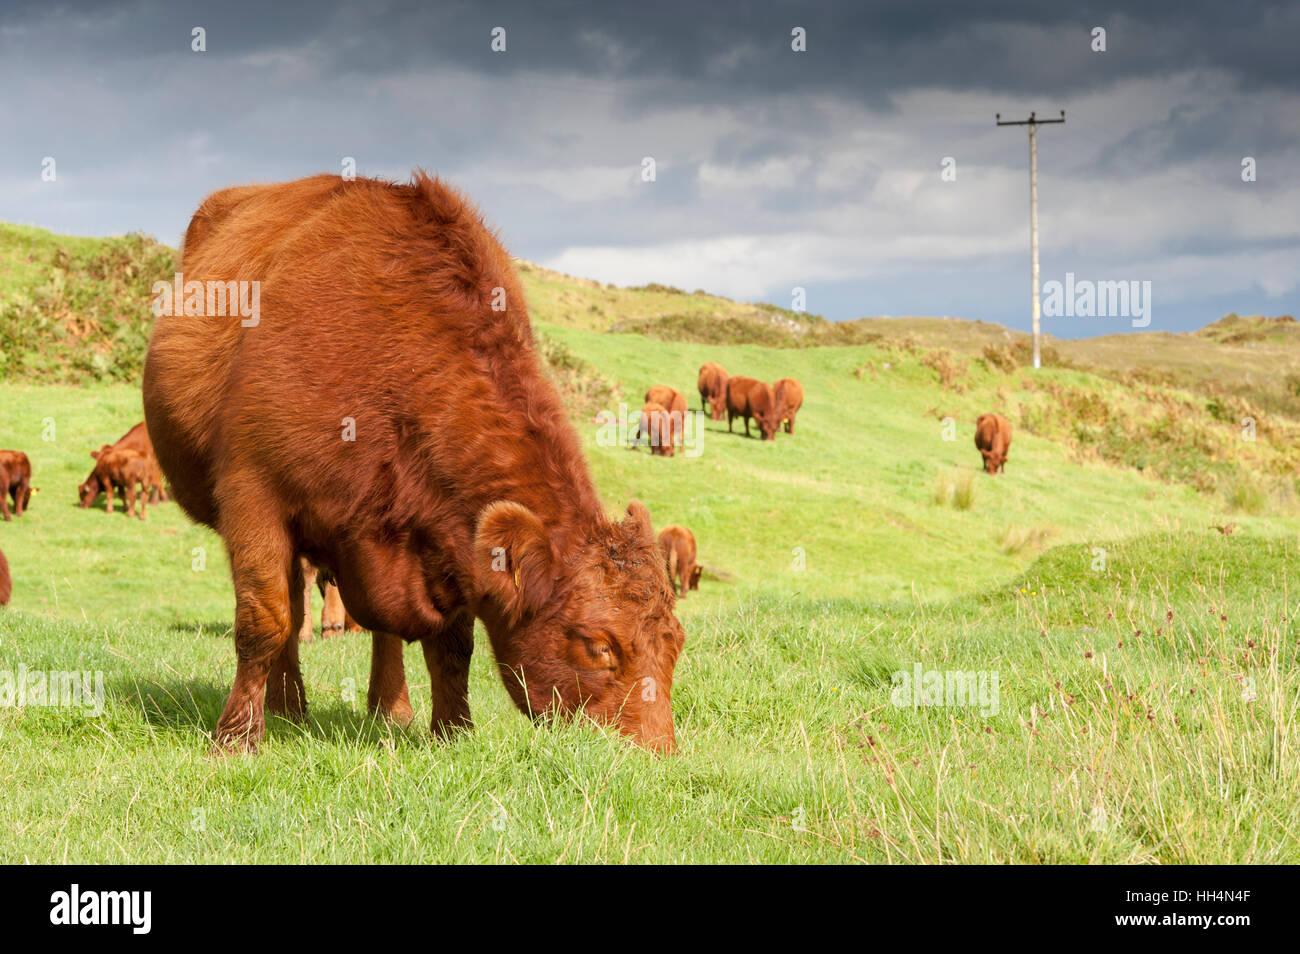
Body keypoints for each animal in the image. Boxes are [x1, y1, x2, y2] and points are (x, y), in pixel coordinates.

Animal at [143, 172, 686, 754]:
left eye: (676, 641)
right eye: (597, 644)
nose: (655, 754)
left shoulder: (447, 540)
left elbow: (452, 645)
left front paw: (453, 731)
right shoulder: (253, 496)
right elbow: (264, 620)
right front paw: (236, 737)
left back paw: (386, 707)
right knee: (289, 607)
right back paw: (287, 708)